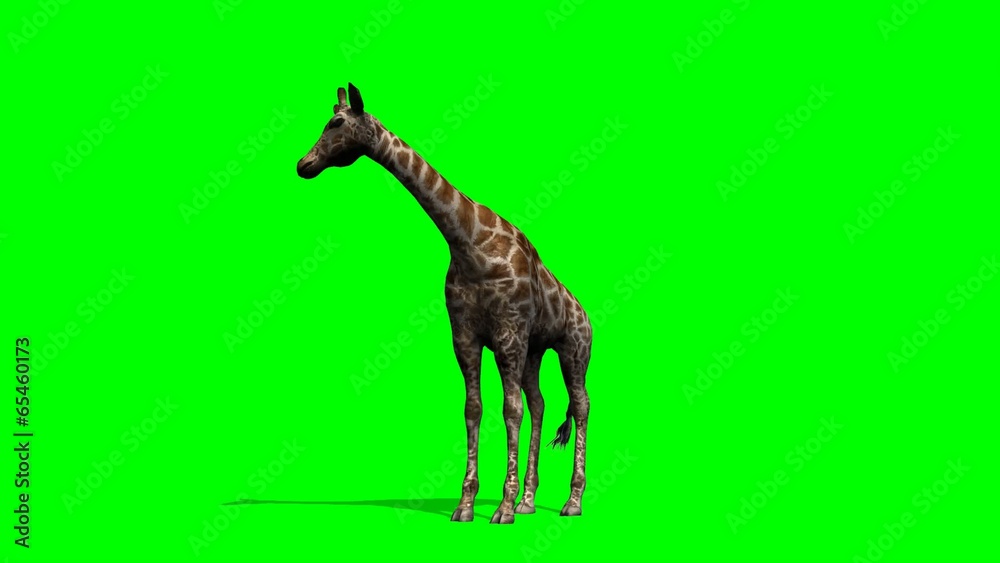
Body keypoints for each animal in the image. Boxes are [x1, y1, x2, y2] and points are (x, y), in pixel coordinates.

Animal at [297, 83, 592, 524]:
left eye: (335, 123)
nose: (304, 164)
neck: (467, 241)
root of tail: (586, 314)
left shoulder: (507, 334)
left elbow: (510, 410)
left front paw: (502, 508)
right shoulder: (465, 335)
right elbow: (474, 408)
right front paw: (467, 505)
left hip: (573, 348)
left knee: (580, 404)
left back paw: (571, 502)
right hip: (535, 349)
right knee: (539, 403)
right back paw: (528, 501)